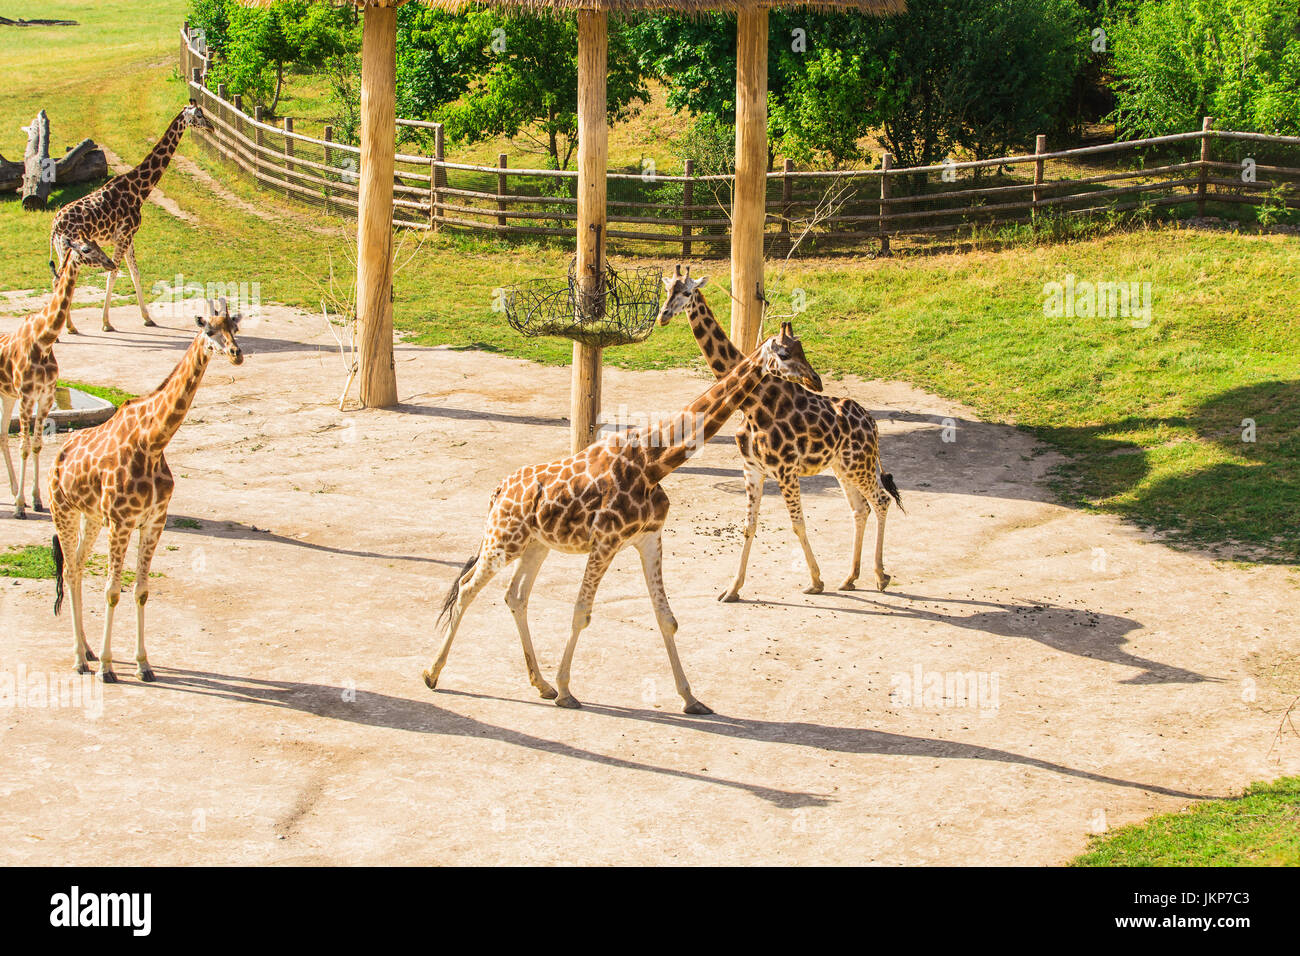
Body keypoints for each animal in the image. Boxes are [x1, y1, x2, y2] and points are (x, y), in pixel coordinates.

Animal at [0, 239, 116, 519]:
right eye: (86, 249)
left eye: (98, 244)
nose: (111, 262)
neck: (43, 340)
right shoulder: (26, 396)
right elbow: (24, 446)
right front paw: (20, 507)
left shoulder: (45, 395)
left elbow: (36, 445)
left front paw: (35, 500)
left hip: (6, 394)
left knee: (1, 434)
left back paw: (13, 490)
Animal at [48, 298, 244, 683]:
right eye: (208, 329)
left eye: (235, 328)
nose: (236, 354)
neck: (153, 442)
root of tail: (58, 458)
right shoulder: (122, 523)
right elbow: (112, 591)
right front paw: (108, 668)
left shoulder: (154, 521)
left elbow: (140, 591)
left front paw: (143, 665)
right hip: (63, 510)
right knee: (69, 570)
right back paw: (80, 659)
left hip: (91, 517)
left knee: (77, 565)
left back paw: (88, 650)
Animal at [49, 101, 213, 334]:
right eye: (199, 115)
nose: (212, 127)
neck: (139, 189)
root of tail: (54, 227)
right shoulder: (124, 236)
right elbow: (113, 275)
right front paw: (106, 323)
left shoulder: (129, 238)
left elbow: (135, 273)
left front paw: (148, 318)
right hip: (71, 249)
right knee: (62, 280)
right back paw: (69, 327)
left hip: (62, 250)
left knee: (58, 280)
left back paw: (66, 326)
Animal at [423, 324, 823, 714]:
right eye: (784, 353)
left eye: (802, 348)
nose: (816, 380)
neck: (655, 460)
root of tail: (498, 490)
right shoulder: (605, 541)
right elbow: (582, 612)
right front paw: (567, 692)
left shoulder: (648, 537)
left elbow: (666, 618)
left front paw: (691, 699)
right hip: (502, 541)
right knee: (467, 588)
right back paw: (432, 674)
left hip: (535, 545)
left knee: (515, 596)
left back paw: (540, 684)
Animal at [657, 267, 903, 600]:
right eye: (668, 289)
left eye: (687, 292)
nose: (663, 316)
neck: (753, 403)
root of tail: (873, 424)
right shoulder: (751, 468)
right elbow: (749, 526)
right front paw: (732, 589)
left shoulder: (786, 470)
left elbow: (797, 523)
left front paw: (815, 581)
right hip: (842, 467)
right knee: (859, 509)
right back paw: (850, 577)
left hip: (858, 464)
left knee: (881, 501)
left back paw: (879, 576)